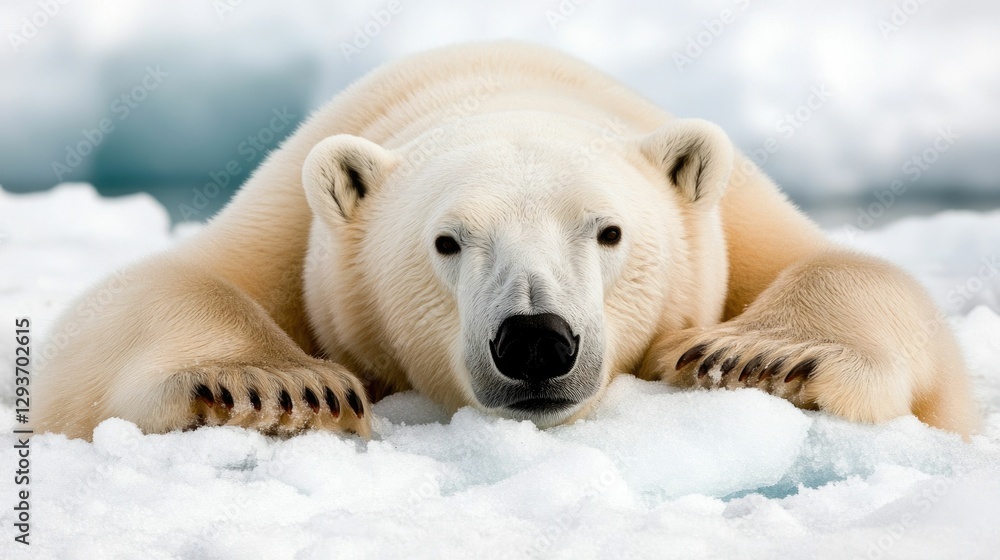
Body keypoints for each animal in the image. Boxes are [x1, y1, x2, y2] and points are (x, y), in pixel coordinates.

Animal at [33, 41, 979, 441]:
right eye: (448, 242)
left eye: (609, 231)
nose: (535, 340)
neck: (497, 84)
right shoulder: (292, 237)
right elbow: (138, 299)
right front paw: (276, 386)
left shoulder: (733, 224)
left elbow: (854, 269)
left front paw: (755, 355)